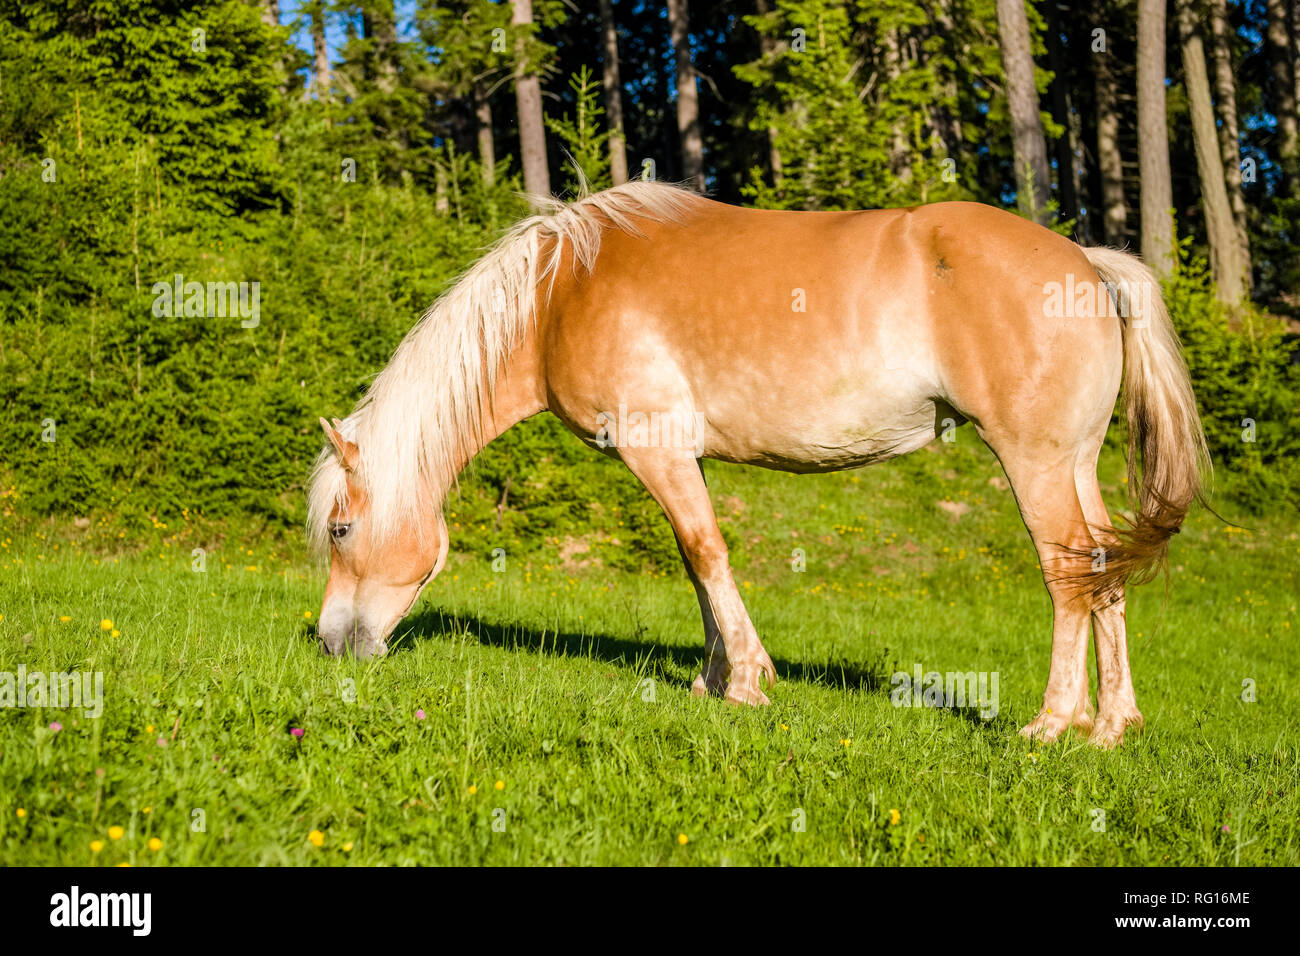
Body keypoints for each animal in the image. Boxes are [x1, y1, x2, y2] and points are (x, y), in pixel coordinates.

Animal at [308, 180, 1208, 748]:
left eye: (342, 530)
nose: (331, 646)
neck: (562, 291)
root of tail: (1088, 262)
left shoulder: (654, 449)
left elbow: (707, 552)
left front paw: (746, 680)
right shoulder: (681, 459)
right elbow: (696, 562)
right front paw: (712, 679)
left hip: (1036, 465)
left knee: (1067, 575)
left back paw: (1054, 724)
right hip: (1077, 468)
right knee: (1104, 571)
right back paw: (1111, 726)